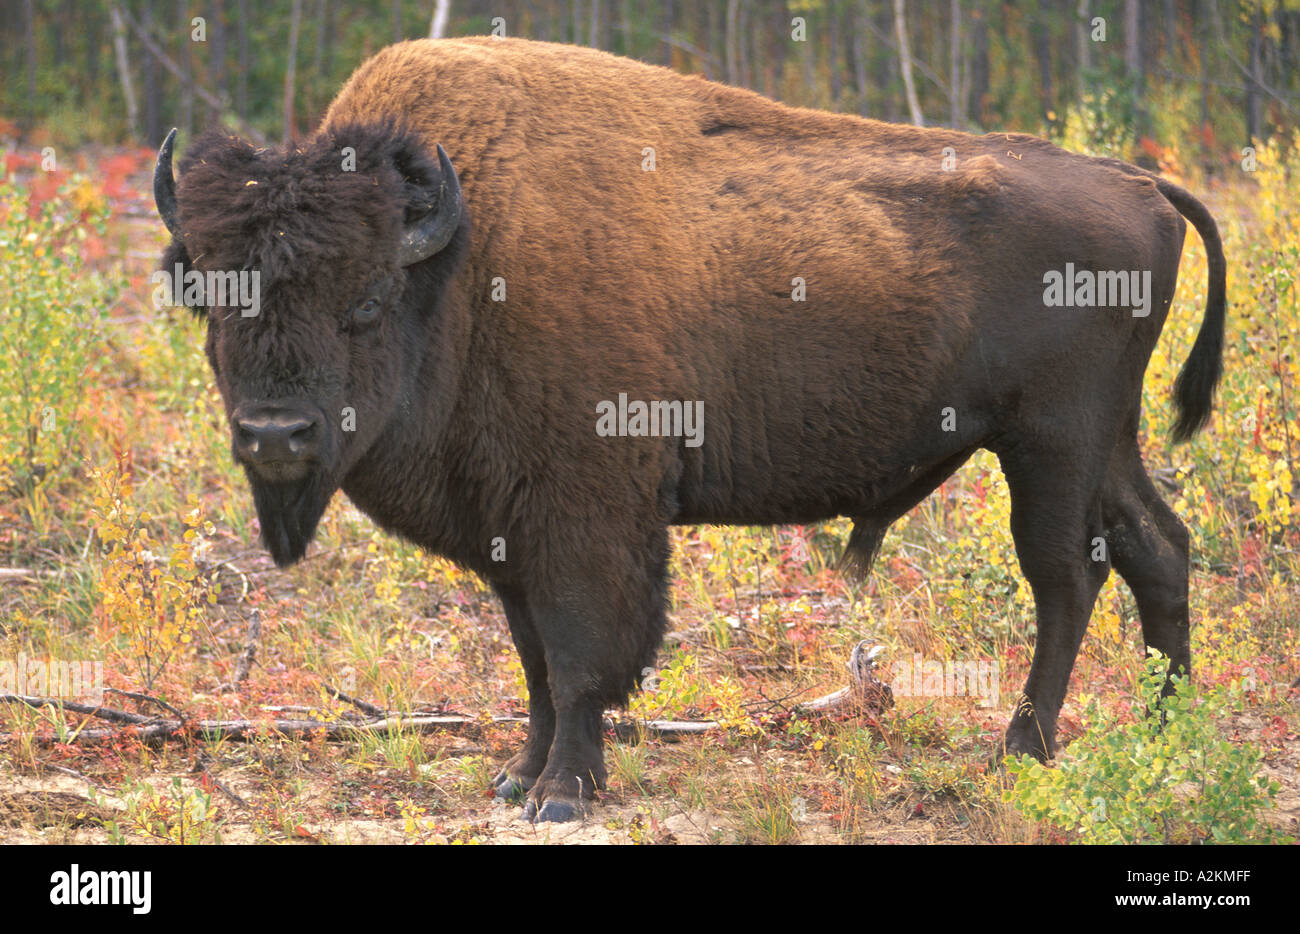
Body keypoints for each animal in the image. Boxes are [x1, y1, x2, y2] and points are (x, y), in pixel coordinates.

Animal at [153, 37, 1226, 822]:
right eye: (210, 301)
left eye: (366, 305)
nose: (276, 436)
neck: (461, 261)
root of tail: (1137, 184)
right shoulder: (508, 524)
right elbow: (532, 658)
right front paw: (518, 776)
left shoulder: (585, 516)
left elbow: (580, 655)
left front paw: (562, 795)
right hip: (1104, 441)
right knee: (1158, 549)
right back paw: (1167, 730)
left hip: (1050, 443)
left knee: (1067, 577)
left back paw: (1021, 752)